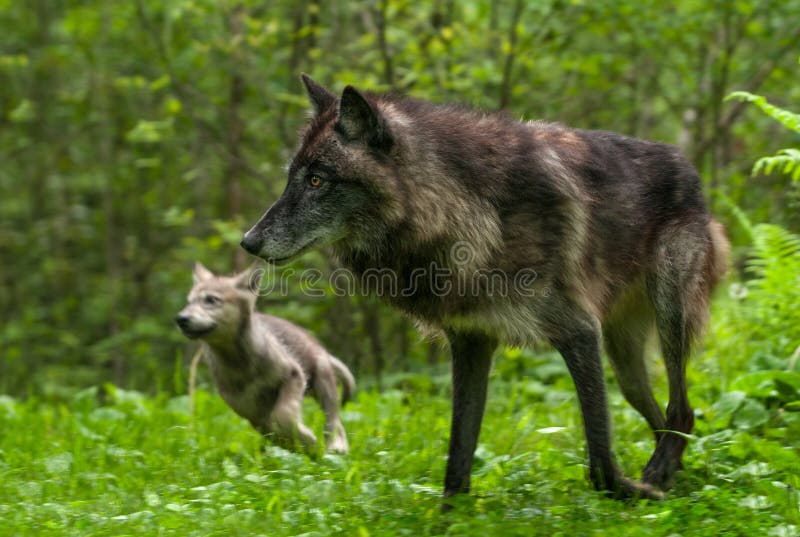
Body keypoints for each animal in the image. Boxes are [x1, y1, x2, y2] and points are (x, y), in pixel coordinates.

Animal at [175, 261, 355, 453]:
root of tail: (321, 348)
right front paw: (301, 448)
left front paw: (308, 440)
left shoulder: (293, 374)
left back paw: (336, 447)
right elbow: (275, 431)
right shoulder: (250, 410)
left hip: (323, 385)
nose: (180, 319)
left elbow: (283, 415)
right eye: (189, 302)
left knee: (333, 421)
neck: (237, 359)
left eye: (210, 300)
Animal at [241, 75, 729, 500]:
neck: (454, 207)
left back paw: (659, 477)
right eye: (291, 177)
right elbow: (458, 456)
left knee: (682, 409)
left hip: (667, 317)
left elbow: (600, 460)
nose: (248, 241)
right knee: (667, 415)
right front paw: (449, 518)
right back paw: (674, 475)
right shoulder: (472, 342)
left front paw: (629, 492)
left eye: (317, 180)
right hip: (623, 362)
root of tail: (688, 166)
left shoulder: (577, 331)